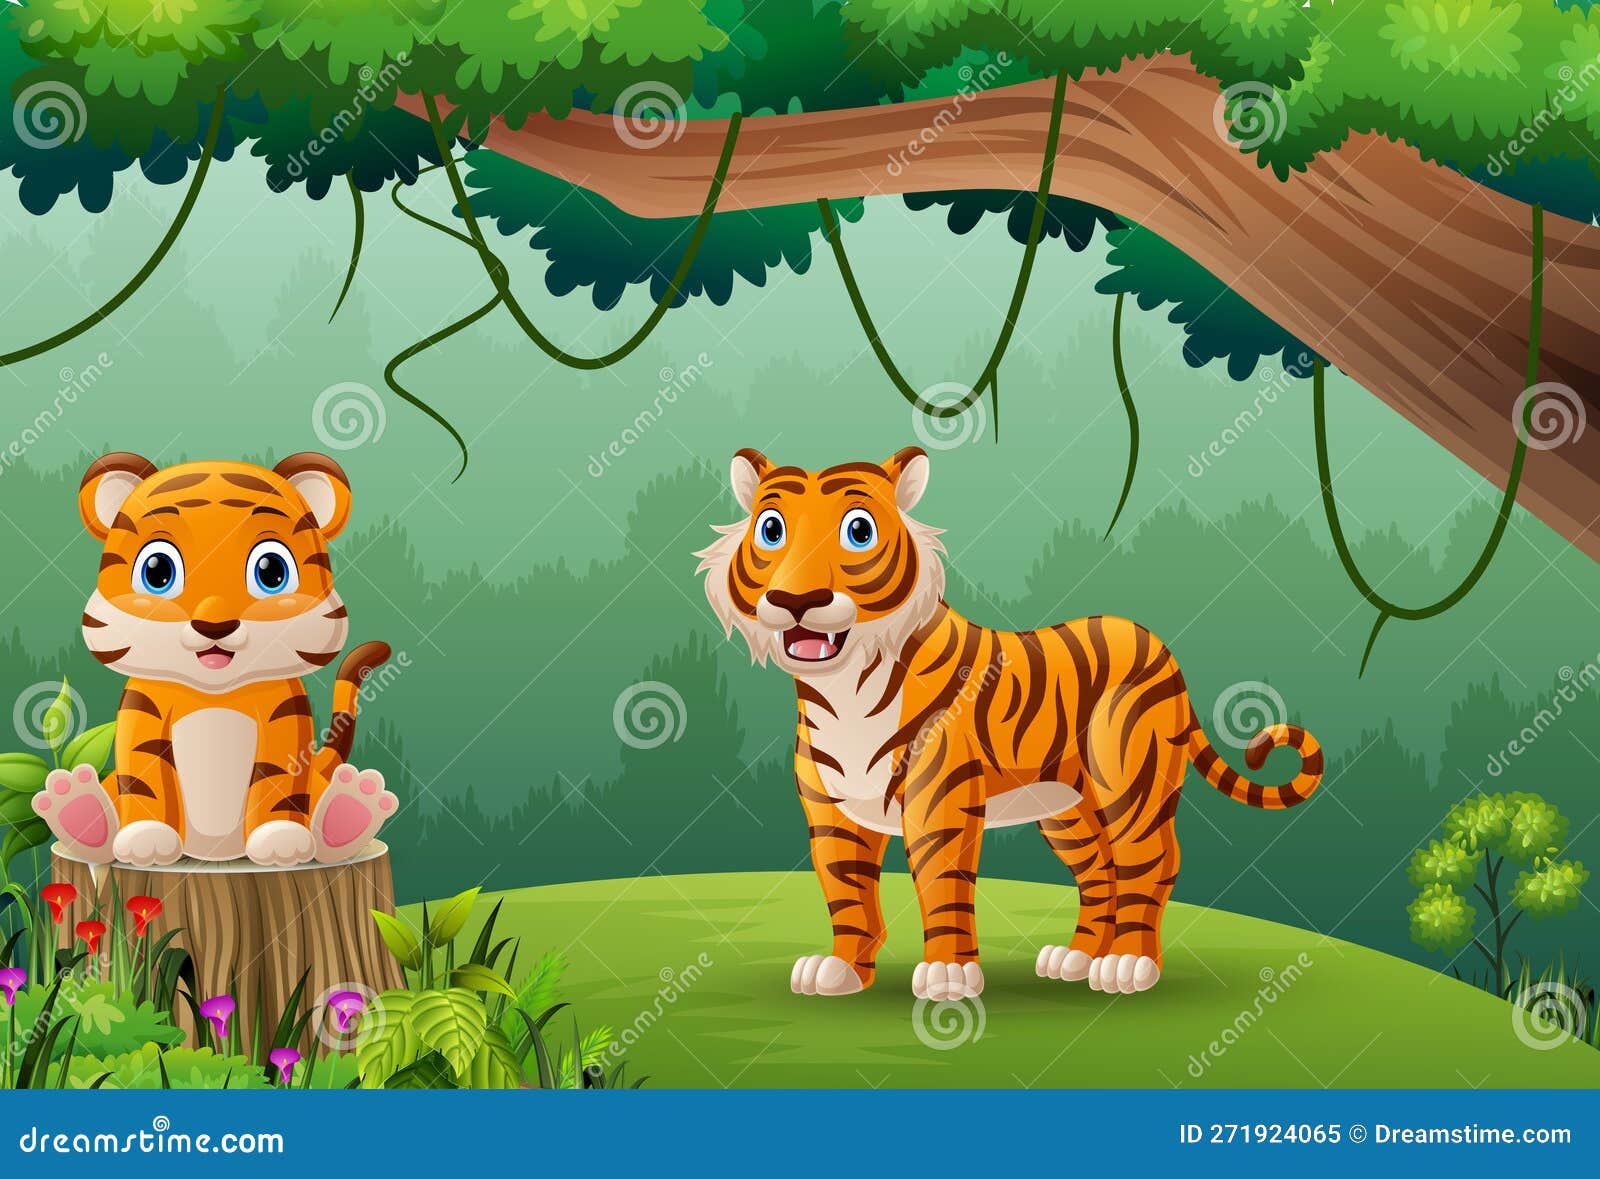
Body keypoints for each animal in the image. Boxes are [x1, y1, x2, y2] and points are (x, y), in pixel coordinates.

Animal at [31, 452, 399, 868]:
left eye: (272, 571)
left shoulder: (284, 722)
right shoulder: (142, 715)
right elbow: (145, 779)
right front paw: (146, 840)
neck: (214, 693)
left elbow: (277, 779)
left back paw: (351, 809)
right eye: (157, 570)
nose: (214, 625)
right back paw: (77, 809)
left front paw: (280, 840)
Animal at [695, 446, 1322, 1000]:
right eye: (771, 529)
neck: (840, 689)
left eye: (859, 530)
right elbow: (845, 891)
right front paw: (841, 970)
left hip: (1130, 784)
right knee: (1100, 873)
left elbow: (941, 886)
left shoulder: (939, 803)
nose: (797, 600)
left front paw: (947, 978)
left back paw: (1127, 964)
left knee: (1149, 861)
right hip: (1068, 809)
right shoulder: (831, 810)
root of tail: (1157, 642)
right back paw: (1077, 959)